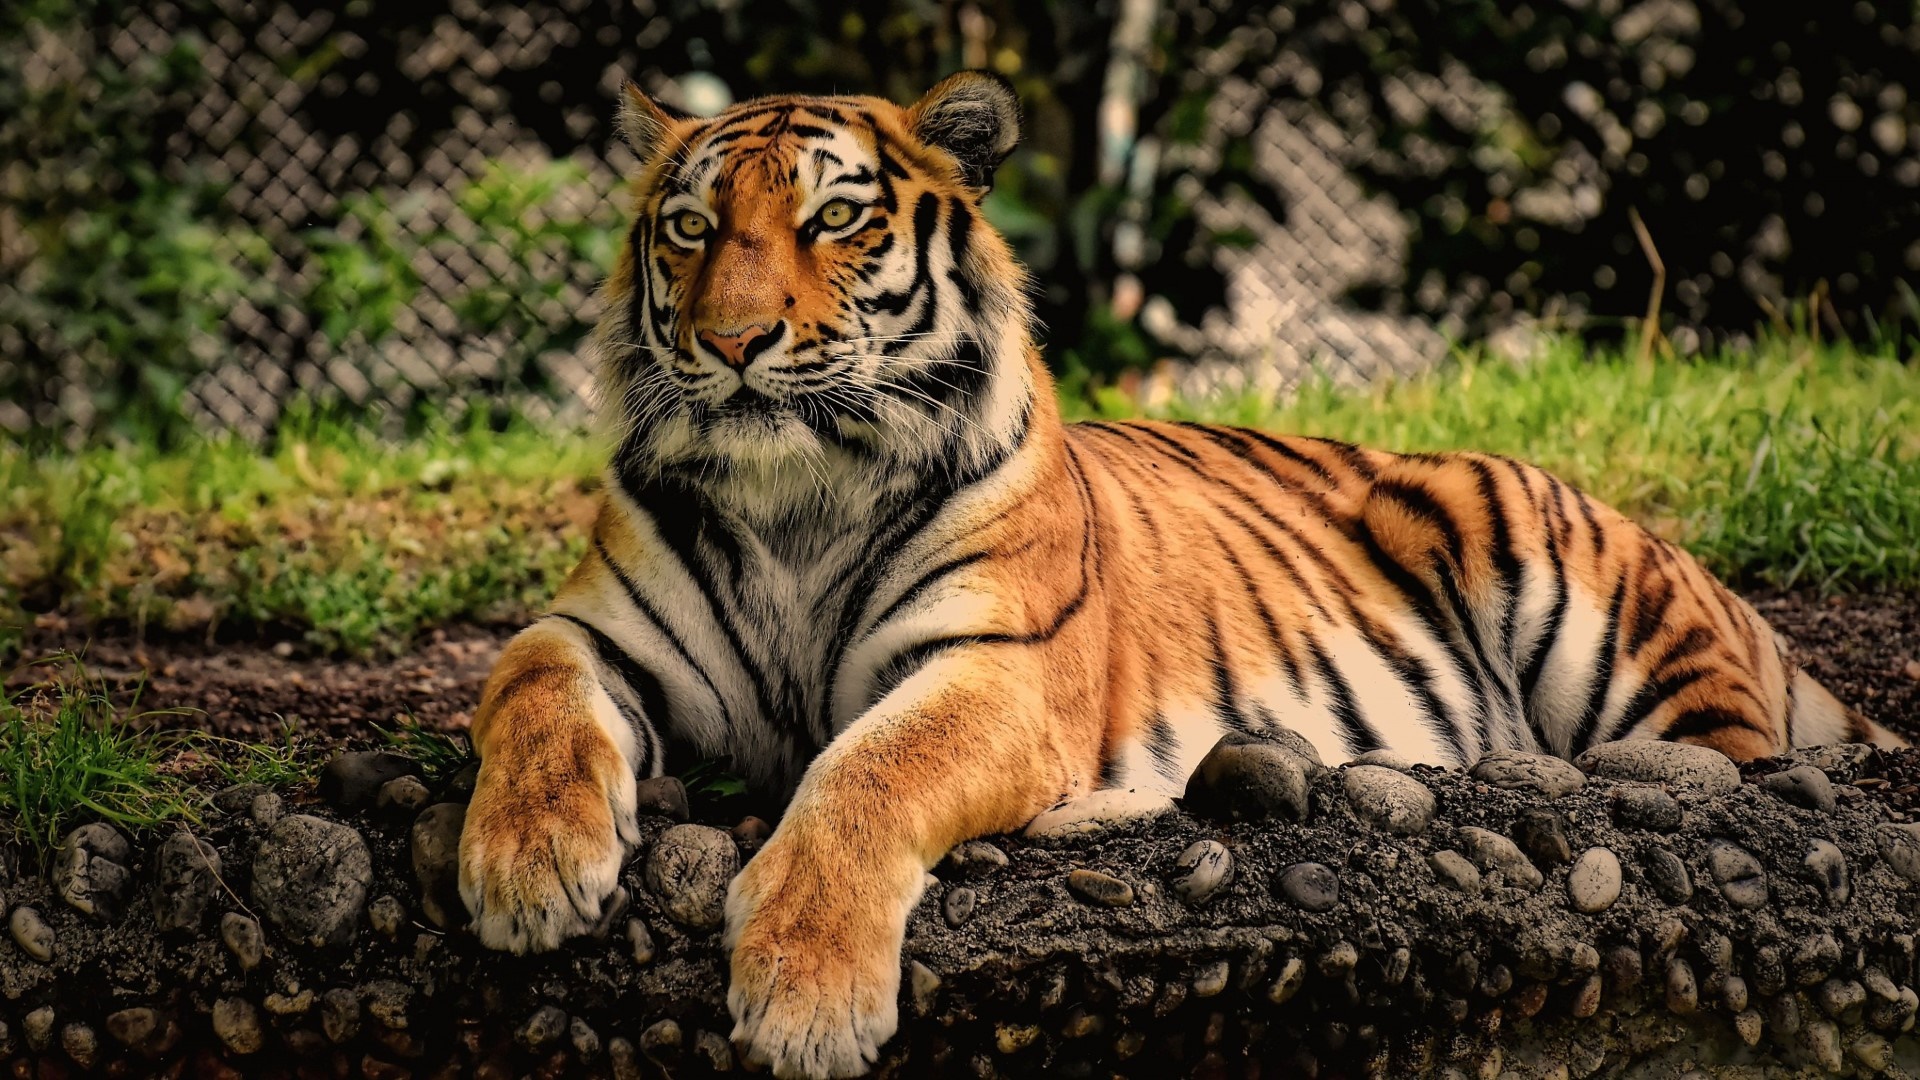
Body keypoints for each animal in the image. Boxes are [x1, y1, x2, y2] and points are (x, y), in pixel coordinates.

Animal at [455, 70, 1903, 1078]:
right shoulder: (598, 632)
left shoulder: (994, 672)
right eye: (692, 229)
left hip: (1595, 607)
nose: (735, 341)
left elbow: (864, 774)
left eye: (837, 220)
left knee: (1730, 765)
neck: (796, 497)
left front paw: (805, 995)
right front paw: (528, 872)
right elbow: (526, 693)